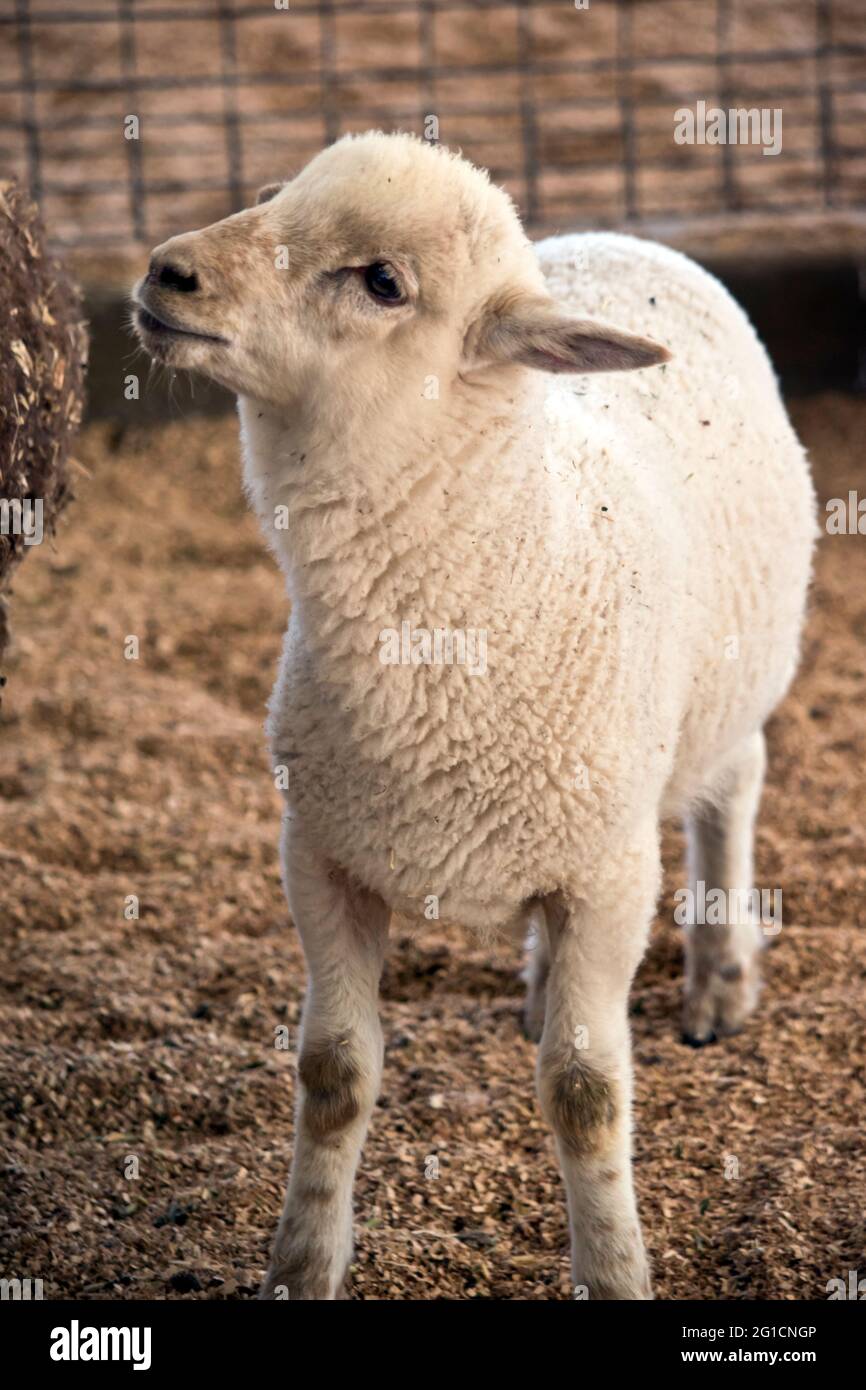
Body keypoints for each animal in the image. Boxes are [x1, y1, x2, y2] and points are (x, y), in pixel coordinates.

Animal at [132, 131, 816, 1300]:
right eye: (271, 198)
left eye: (382, 283)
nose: (166, 271)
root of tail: (620, 233)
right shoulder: (320, 855)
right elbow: (331, 1075)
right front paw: (303, 1263)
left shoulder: (607, 875)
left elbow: (586, 1093)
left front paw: (614, 1269)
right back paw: (545, 985)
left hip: (726, 687)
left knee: (731, 789)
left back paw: (719, 976)